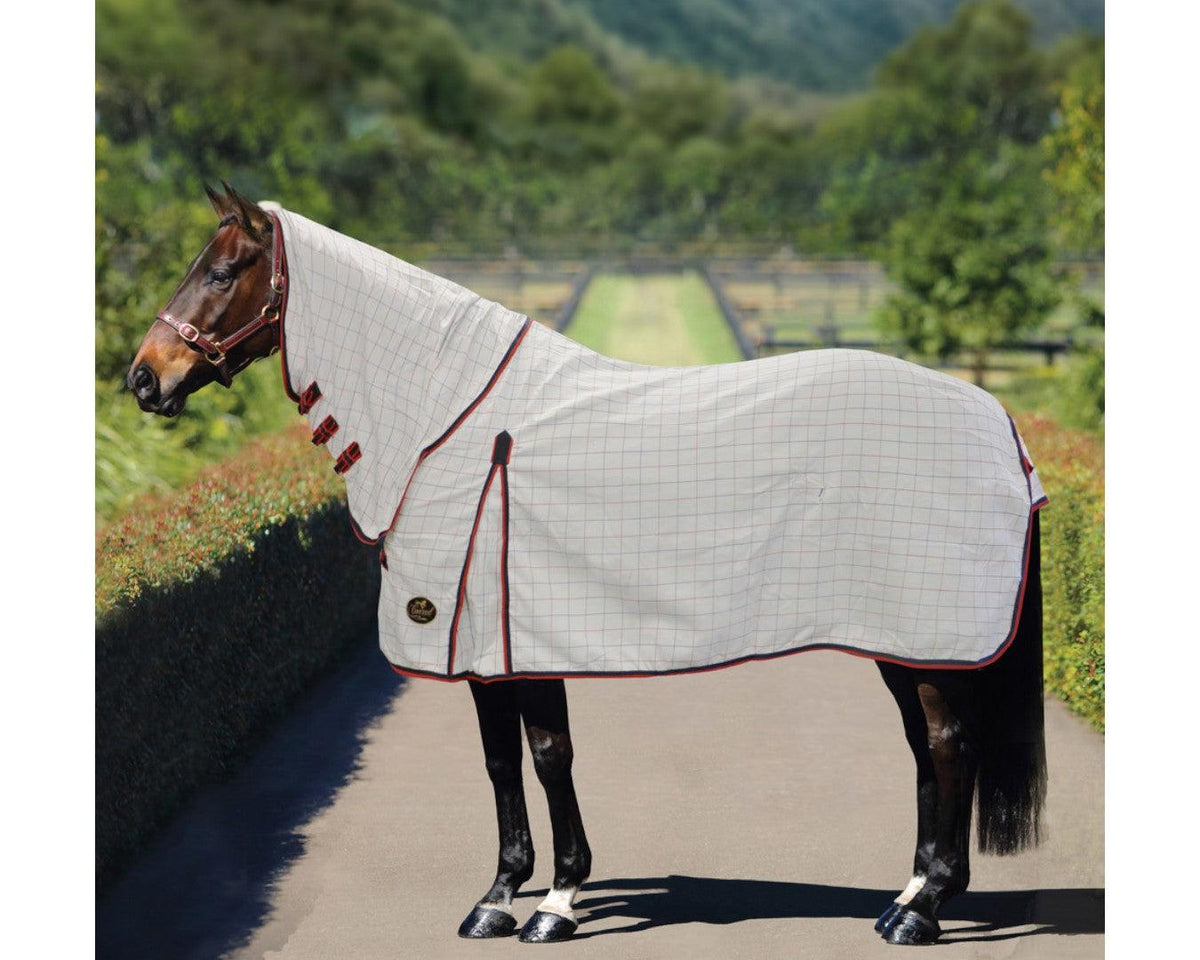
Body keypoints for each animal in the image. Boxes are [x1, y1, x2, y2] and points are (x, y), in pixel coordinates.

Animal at [127, 184, 1047, 947]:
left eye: (223, 271)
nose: (143, 379)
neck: (449, 424)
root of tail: (1002, 422)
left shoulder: (517, 639)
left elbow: (548, 755)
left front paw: (558, 904)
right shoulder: (485, 649)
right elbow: (502, 763)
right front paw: (498, 898)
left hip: (929, 635)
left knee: (949, 742)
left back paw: (923, 909)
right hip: (907, 642)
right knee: (925, 747)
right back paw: (909, 895)